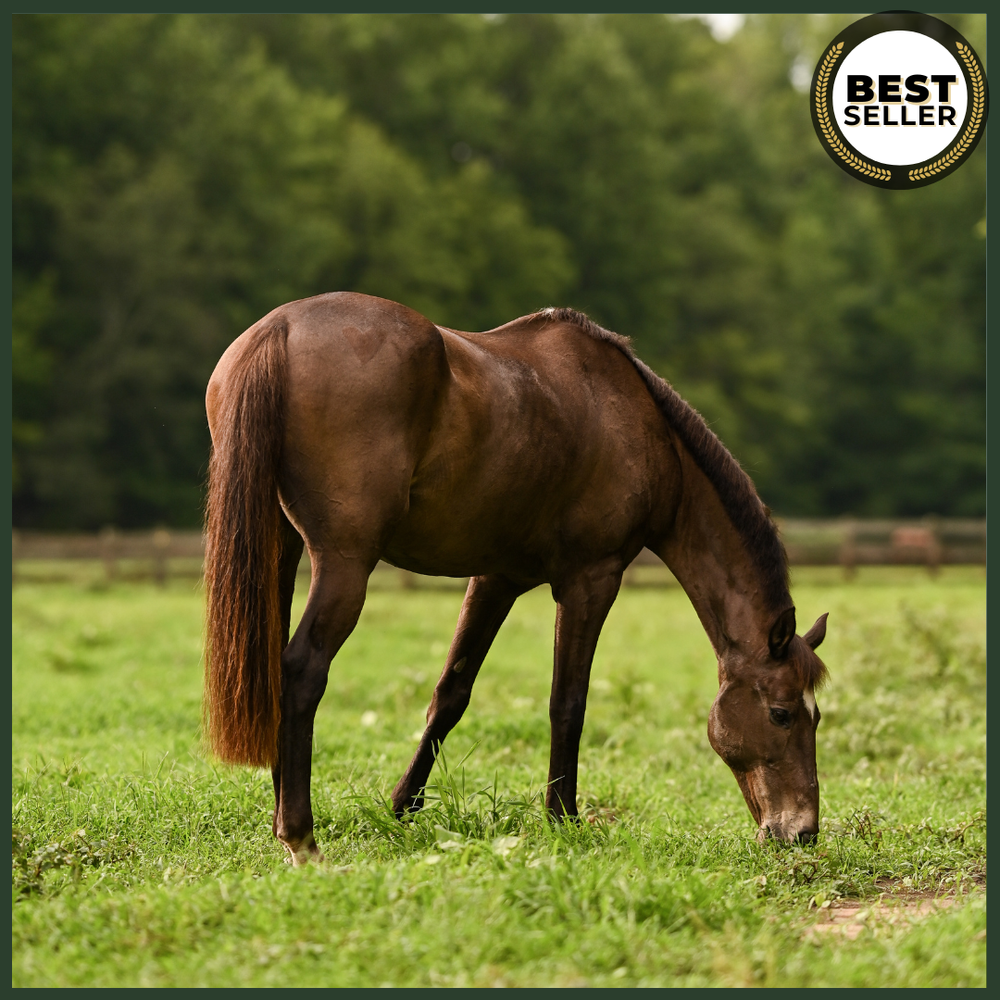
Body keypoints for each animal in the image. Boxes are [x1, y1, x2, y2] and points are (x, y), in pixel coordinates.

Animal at [204, 292, 829, 866]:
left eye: (815, 714)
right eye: (782, 713)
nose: (803, 832)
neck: (636, 422)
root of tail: (281, 329)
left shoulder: (495, 578)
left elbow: (450, 695)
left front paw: (403, 807)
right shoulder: (591, 581)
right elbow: (568, 703)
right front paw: (563, 819)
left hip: (279, 552)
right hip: (344, 564)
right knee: (302, 671)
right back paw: (300, 836)